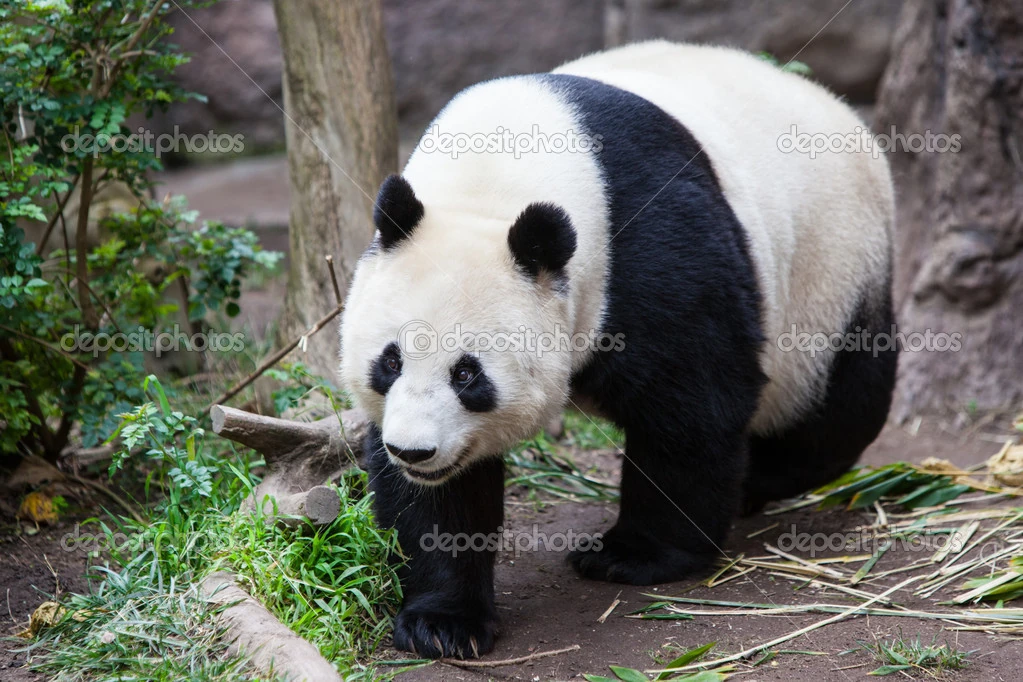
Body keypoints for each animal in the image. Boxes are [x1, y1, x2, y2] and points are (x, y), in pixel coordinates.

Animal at [340, 41, 896, 659]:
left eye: (467, 374)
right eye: (390, 361)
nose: (414, 451)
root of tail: (834, 106)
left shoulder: (651, 242)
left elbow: (693, 403)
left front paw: (632, 556)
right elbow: (441, 495)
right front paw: (443, 622)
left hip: (832, 271)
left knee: (834, 410)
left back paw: (760, 478)